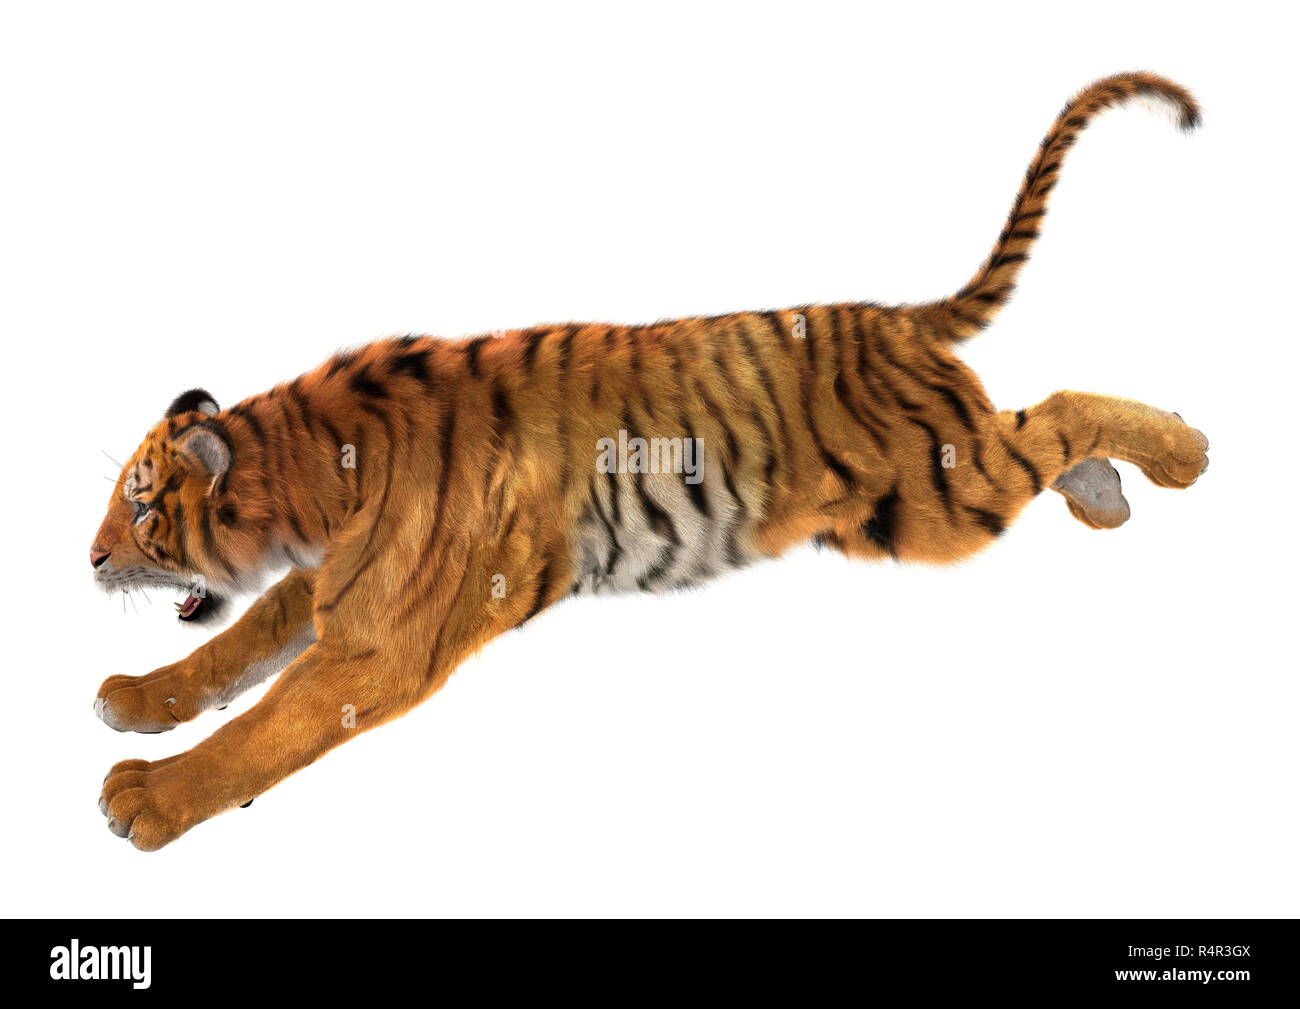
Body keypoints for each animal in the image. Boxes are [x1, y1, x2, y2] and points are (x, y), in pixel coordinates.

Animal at [93, 71, 1209, 850]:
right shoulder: (331, 585)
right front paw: (139, 699)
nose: (91, 561)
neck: (315, 486)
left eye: (143, 508)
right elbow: (233, 653)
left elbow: (266, 724)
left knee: (1053, 414)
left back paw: (1180, 455)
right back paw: (1110, 493)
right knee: (1035, 424)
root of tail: (888, 316)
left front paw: (146, 797)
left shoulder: (376, 643)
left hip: (935, 496)